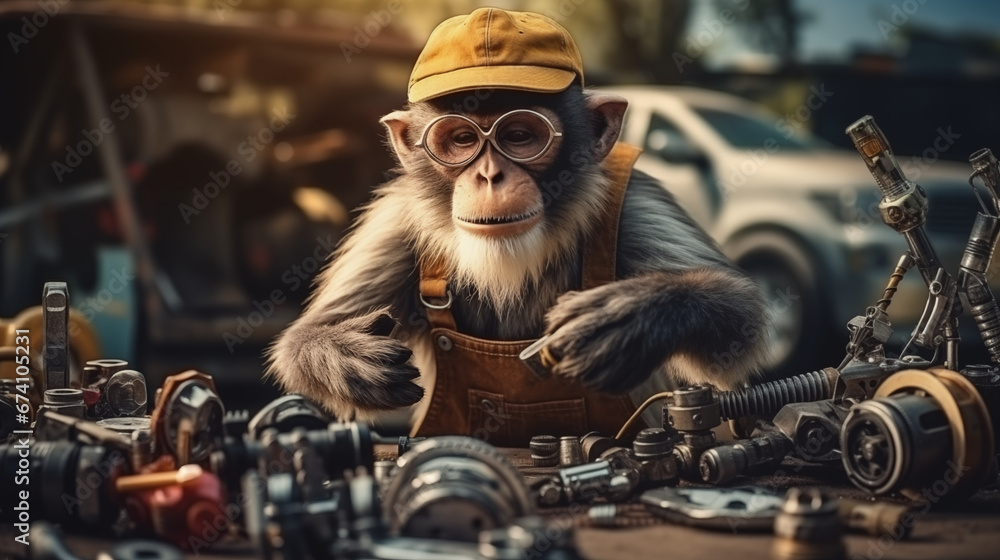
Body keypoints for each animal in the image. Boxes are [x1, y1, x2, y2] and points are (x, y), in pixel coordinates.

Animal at [265, 8, 769, 443]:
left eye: (520, 136)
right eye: (461, 139)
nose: (490, 175)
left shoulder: (639, 207)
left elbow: (741, 312)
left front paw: (630, 316)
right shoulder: (392, 224)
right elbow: (303, 337)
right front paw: (342, 352)